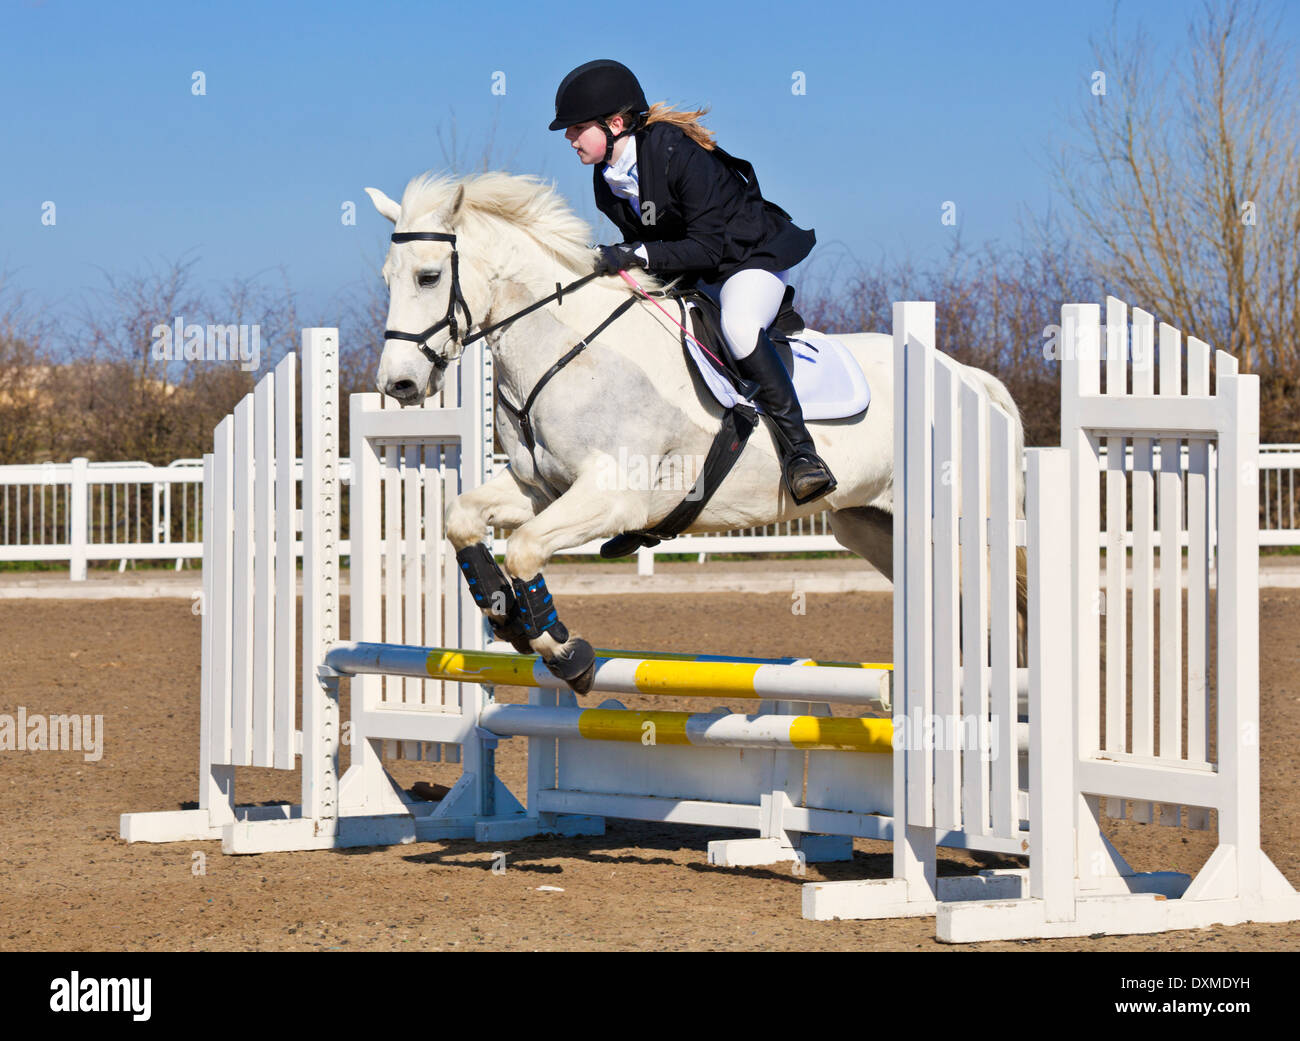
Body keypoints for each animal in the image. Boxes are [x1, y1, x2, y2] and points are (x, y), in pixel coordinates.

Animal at [364, 171, 1025, 693]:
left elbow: (526, 548)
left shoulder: (616, 496)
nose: (398, 384)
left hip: (956, 528)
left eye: (429, 277)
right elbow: (461, 518)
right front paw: (504, 617)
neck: (567, 348)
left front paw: (565, 652)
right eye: (388, 278)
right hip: (873, 525)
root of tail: (967, 376)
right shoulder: (542, 490)